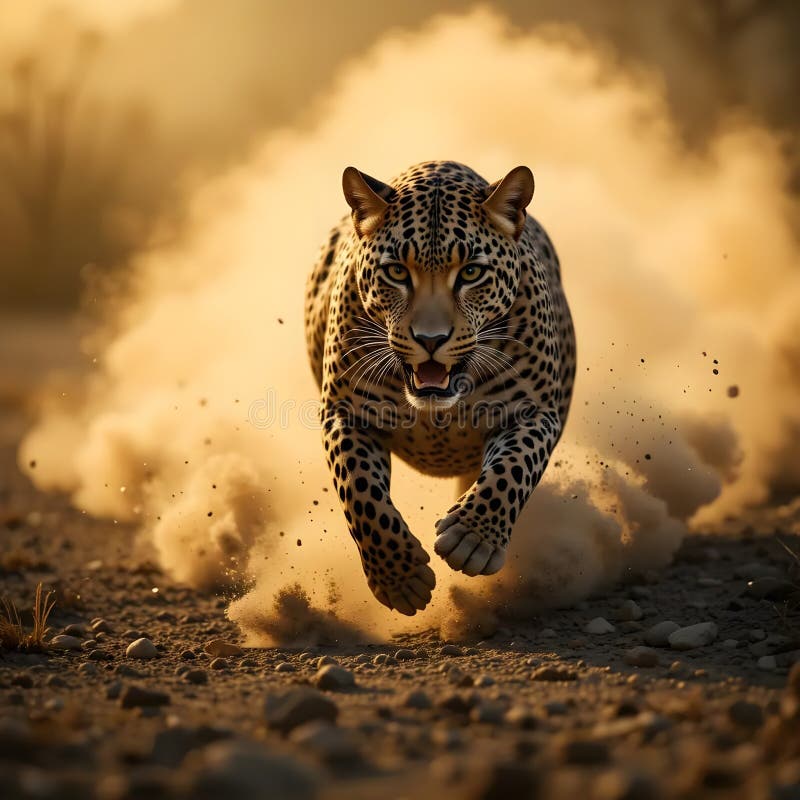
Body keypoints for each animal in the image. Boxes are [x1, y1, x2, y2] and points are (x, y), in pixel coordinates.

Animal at [304, 160, 575, 615]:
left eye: (471, 273)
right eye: (397, 271)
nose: (430, 339)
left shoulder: (534, 412)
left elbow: (513, 467)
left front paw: (473, 537)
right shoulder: (345, 413)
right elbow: (360, 492)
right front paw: (399, 577)